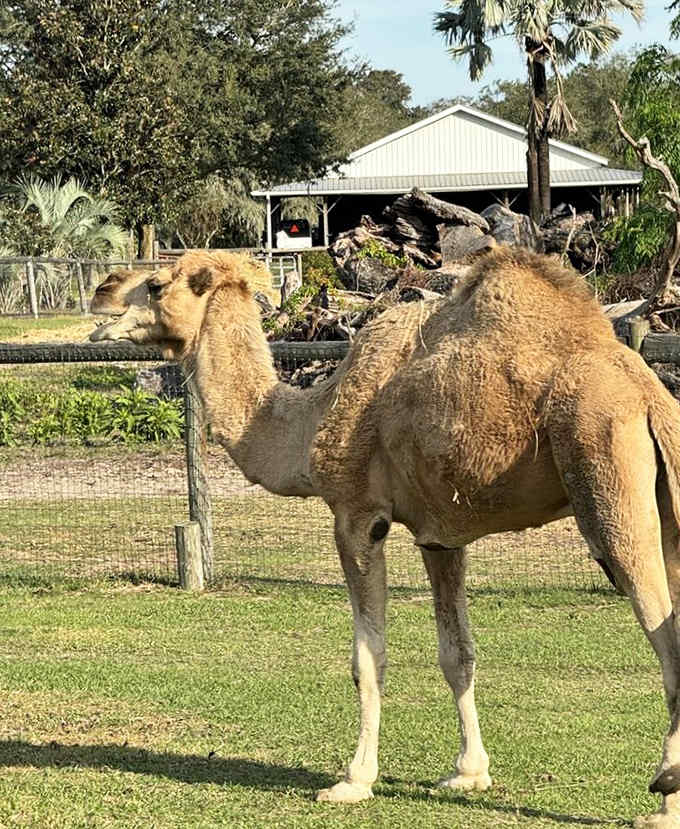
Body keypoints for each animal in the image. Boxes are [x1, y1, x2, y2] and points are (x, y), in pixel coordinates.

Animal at [89, 248, 680, 828]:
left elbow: (367, 660)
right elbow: (457, 653)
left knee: (662, 627)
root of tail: (650, 398)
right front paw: (468, 773)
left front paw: (353, 781)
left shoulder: (357, 515)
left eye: (158, 285)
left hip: (605, 470)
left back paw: (663, 798)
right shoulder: (440, 535)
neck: (313, 419)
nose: (102, 288)